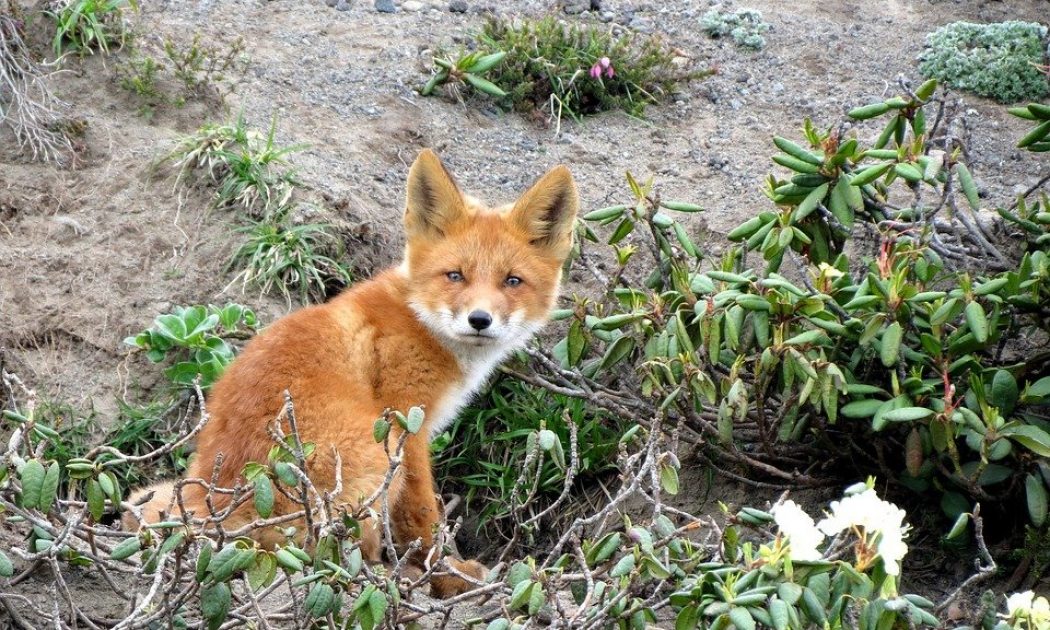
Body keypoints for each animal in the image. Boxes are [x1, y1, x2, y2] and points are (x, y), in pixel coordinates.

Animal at [123, 149, 579, 597]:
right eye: (455, 276)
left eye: (512, 281)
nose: (480, 320)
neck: (419, 321)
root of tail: (224, 503)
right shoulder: (407, 423)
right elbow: (422, 513)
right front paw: (446, 574)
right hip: (374, 453)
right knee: (331, 552)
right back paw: (390, 576)